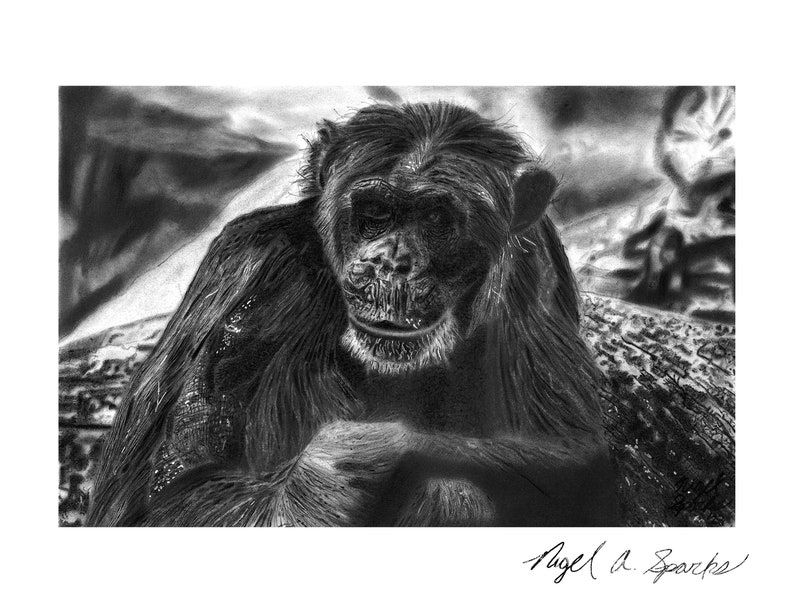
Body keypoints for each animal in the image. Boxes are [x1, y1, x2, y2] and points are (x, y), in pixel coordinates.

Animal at [86, 101, 619, 527]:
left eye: (436, 218)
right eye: (377, 212)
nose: (390, 261)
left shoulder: (534, 272)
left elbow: (579, 468)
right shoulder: (249, 270)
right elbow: (170, 501)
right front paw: (351, 461)